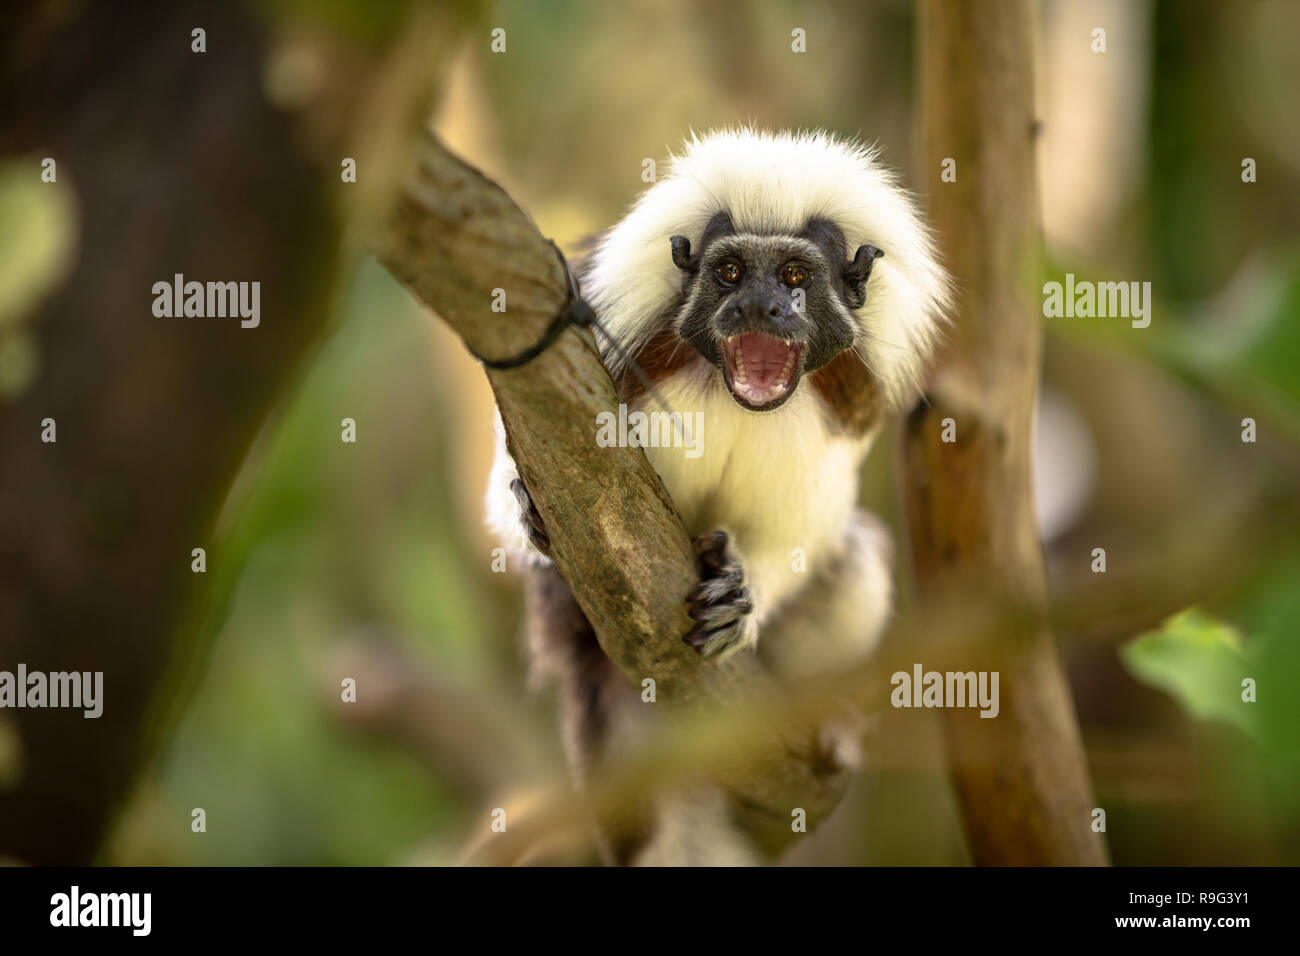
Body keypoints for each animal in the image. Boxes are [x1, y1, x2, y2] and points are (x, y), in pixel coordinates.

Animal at [485, 127, 950, 864]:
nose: (761, 308)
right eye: (730, 273)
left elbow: (804, 531)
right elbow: (519, 459)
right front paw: (526, 509)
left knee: (853, 562)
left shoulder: (841, 403)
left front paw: (743, 591)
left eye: (795, 277)